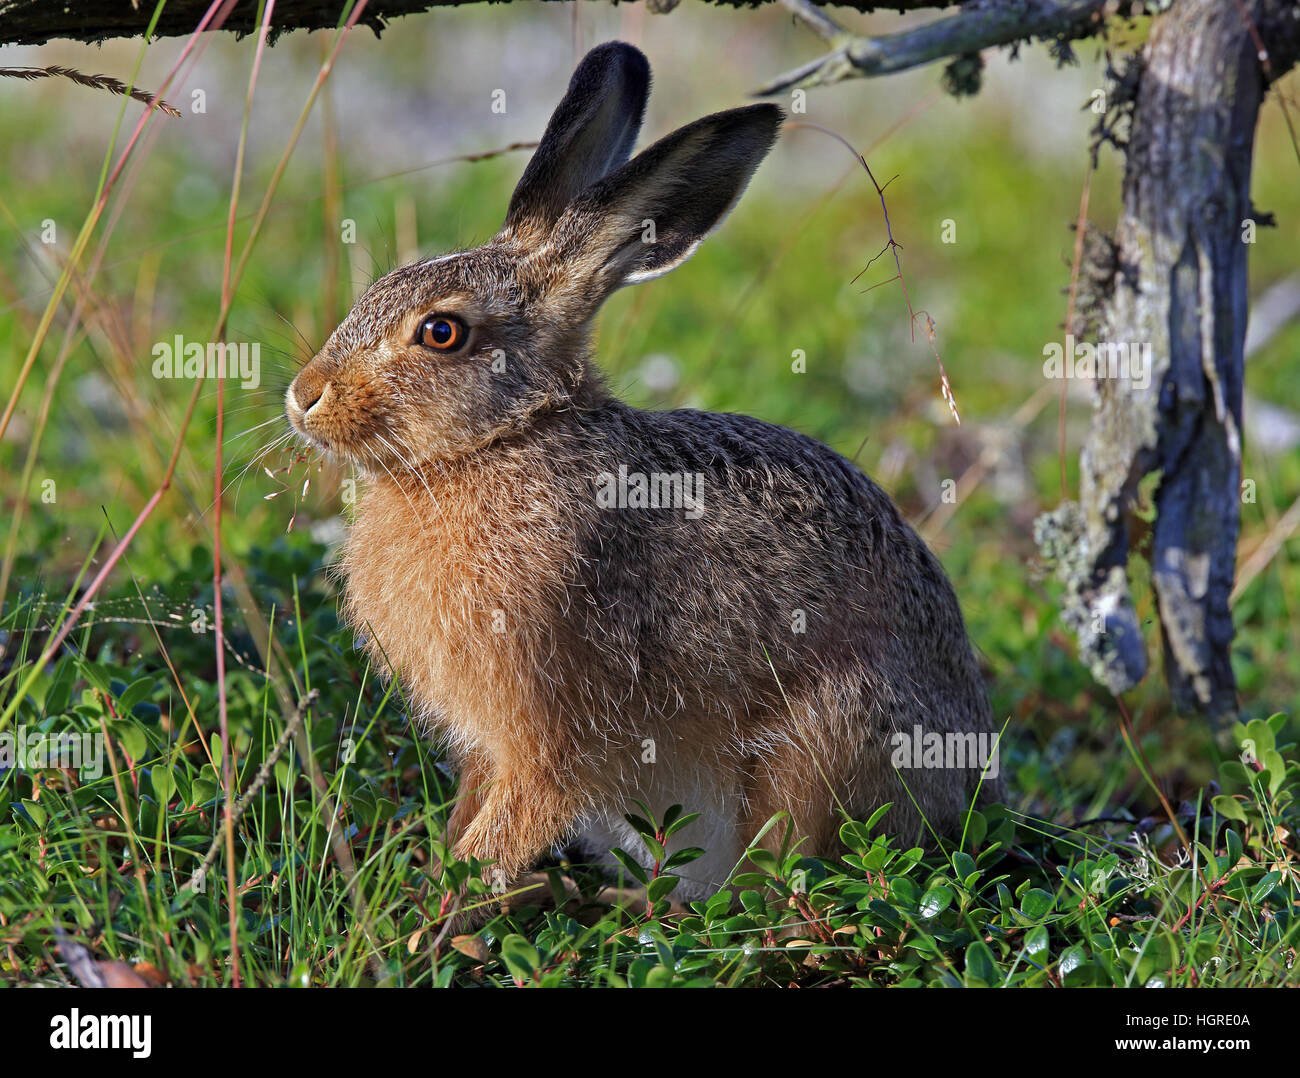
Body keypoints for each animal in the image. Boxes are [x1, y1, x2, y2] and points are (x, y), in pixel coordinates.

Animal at [285, 41, 1000, 904]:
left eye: (442, 332)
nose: (303, 397)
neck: (502, 441)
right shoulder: (488, 744)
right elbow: (471, 808)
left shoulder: (551, 730)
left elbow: (511, 824)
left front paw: (438, 907)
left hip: (823, 747)